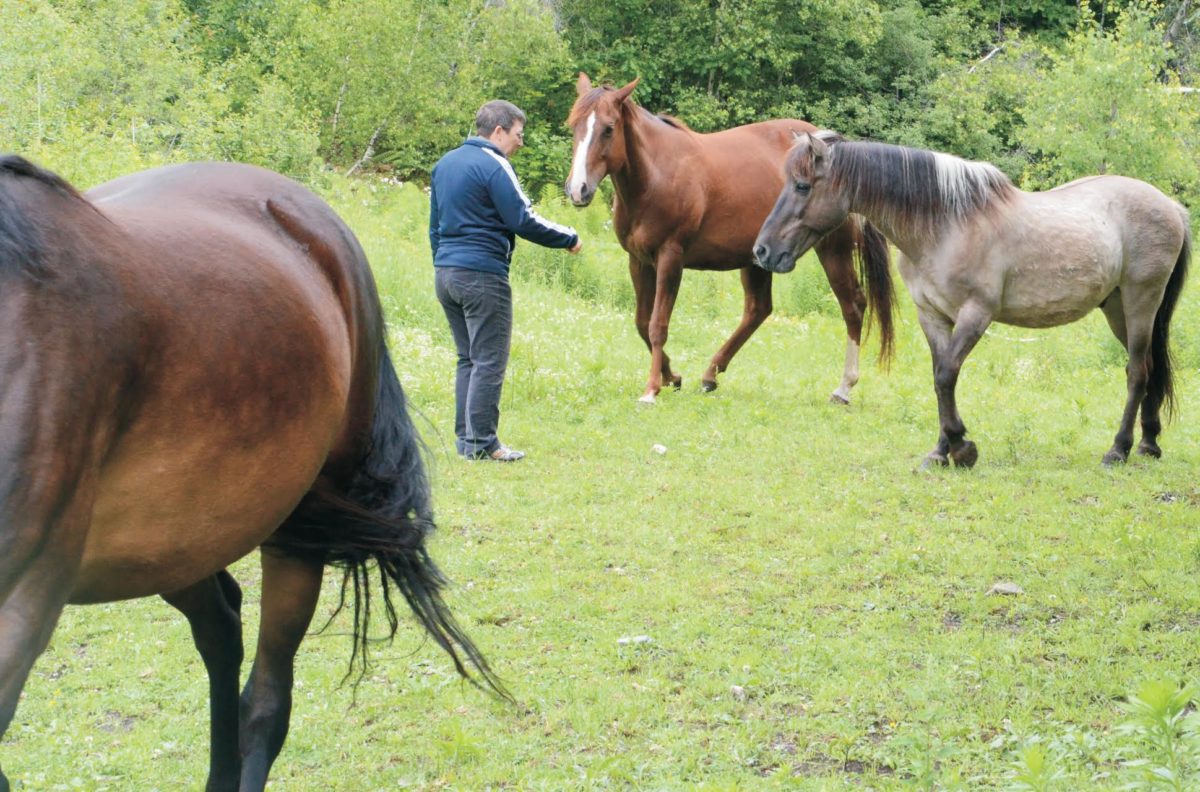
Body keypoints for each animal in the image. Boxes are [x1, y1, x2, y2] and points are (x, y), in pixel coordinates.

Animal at [564, 74, 894, 405]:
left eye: (608, 128)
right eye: (573, 125)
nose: (578, 189)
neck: (655, 176)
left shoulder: (671, 258)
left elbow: (658, 324)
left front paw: (652, 389)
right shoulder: (638, 260)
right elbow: (642, 323)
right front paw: (672, 377)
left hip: (832, 250)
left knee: (852, 305)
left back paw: (844, 387)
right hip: (759, 257)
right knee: (758, 309)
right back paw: (711, 374)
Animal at [754, 133, 1191, 468]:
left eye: (802, 186)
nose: (762, 251)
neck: (946, 226)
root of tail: (1171, 206)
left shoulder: (976, 314)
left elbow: (947, 375)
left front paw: (961, 448)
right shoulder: (931, 315)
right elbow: (938, 377)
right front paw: (941, 451)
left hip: (1140, 302)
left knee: (1136, 373)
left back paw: (1118, 449)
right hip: (1118, 309)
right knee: (1149, 367)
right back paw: (1149, 444)